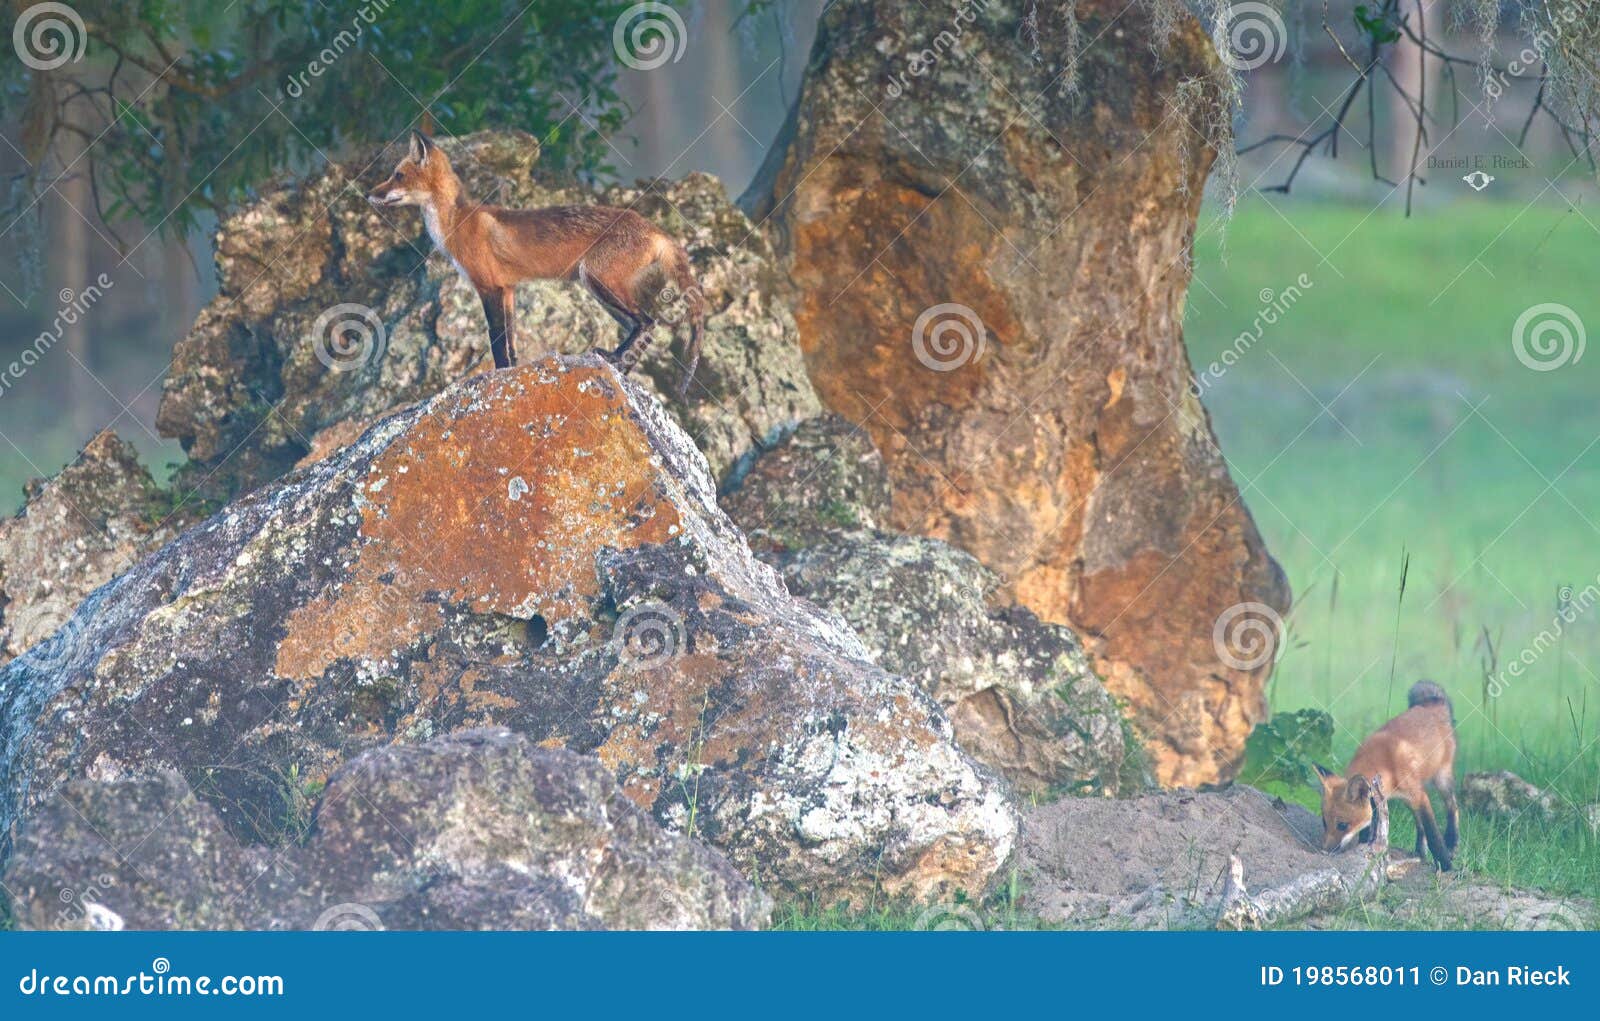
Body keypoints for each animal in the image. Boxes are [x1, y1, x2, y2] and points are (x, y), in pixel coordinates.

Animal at [367, 130, 705, 397]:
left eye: (397, 175)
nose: (369, 193)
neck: (456, 223)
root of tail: (655, 230)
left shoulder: (489, 288)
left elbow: (497, 342)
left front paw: (497, 378)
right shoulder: (508, 290)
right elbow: (512, 344)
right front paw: (514, 375)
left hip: (597, 280)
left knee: (647, 322)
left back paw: (616, 359)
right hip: (604, 292)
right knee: (645, 328)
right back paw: (621, 367)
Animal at [1315, 680, 1459, 870]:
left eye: (1342, 825)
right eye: (1324, 822)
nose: (1324, 851)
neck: (1385, 764)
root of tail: (1432, 704)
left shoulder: (1419, 796)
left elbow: (1433, 835)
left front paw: (1445, 864)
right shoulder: (1380, 801)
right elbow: (1368, 827)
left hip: (1441, 779)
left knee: (1453, 806)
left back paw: (1452, 841)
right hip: (1411, 800)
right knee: (1420, 825)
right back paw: (1420, 851)